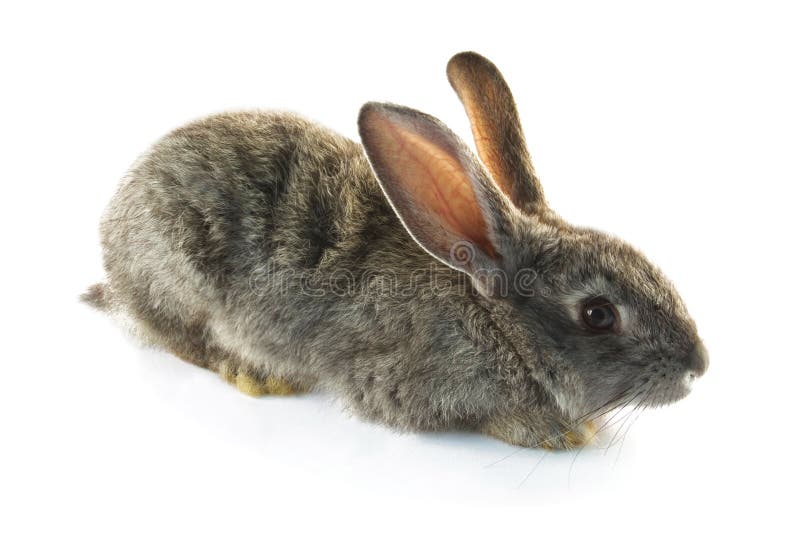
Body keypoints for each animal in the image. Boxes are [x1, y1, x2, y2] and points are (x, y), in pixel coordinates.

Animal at [83, 51, 708, 450]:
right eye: (598, 315)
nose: (698, 367)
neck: (494, 319)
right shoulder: (405, 386)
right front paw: (558, 432)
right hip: (179, 275)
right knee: (182, 339)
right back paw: (253, 373)